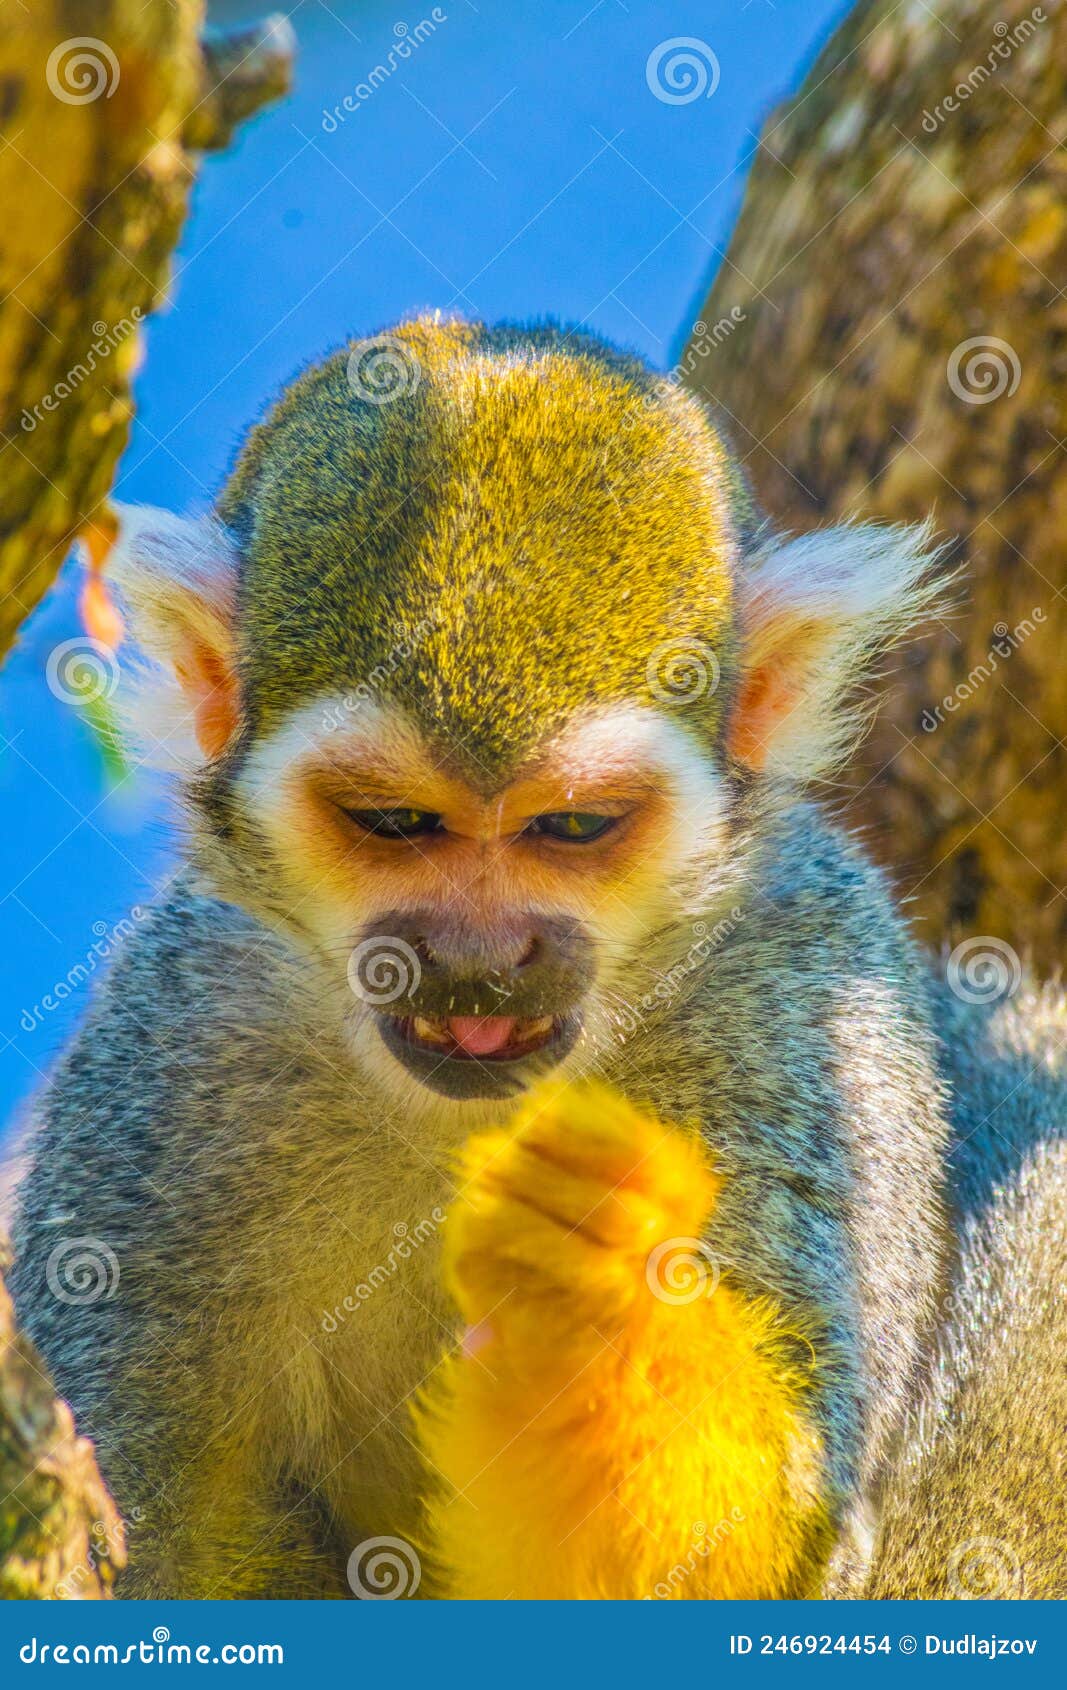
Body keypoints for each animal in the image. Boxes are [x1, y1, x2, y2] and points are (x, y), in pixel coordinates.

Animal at [7, 315, 1065, 1600]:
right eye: (392, 820)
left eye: (573, 825)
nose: (480, 956)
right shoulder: (177, 1040)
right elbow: (160, 1527)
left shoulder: (812, 1018)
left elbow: (768, 1557)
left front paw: (594, 1299)